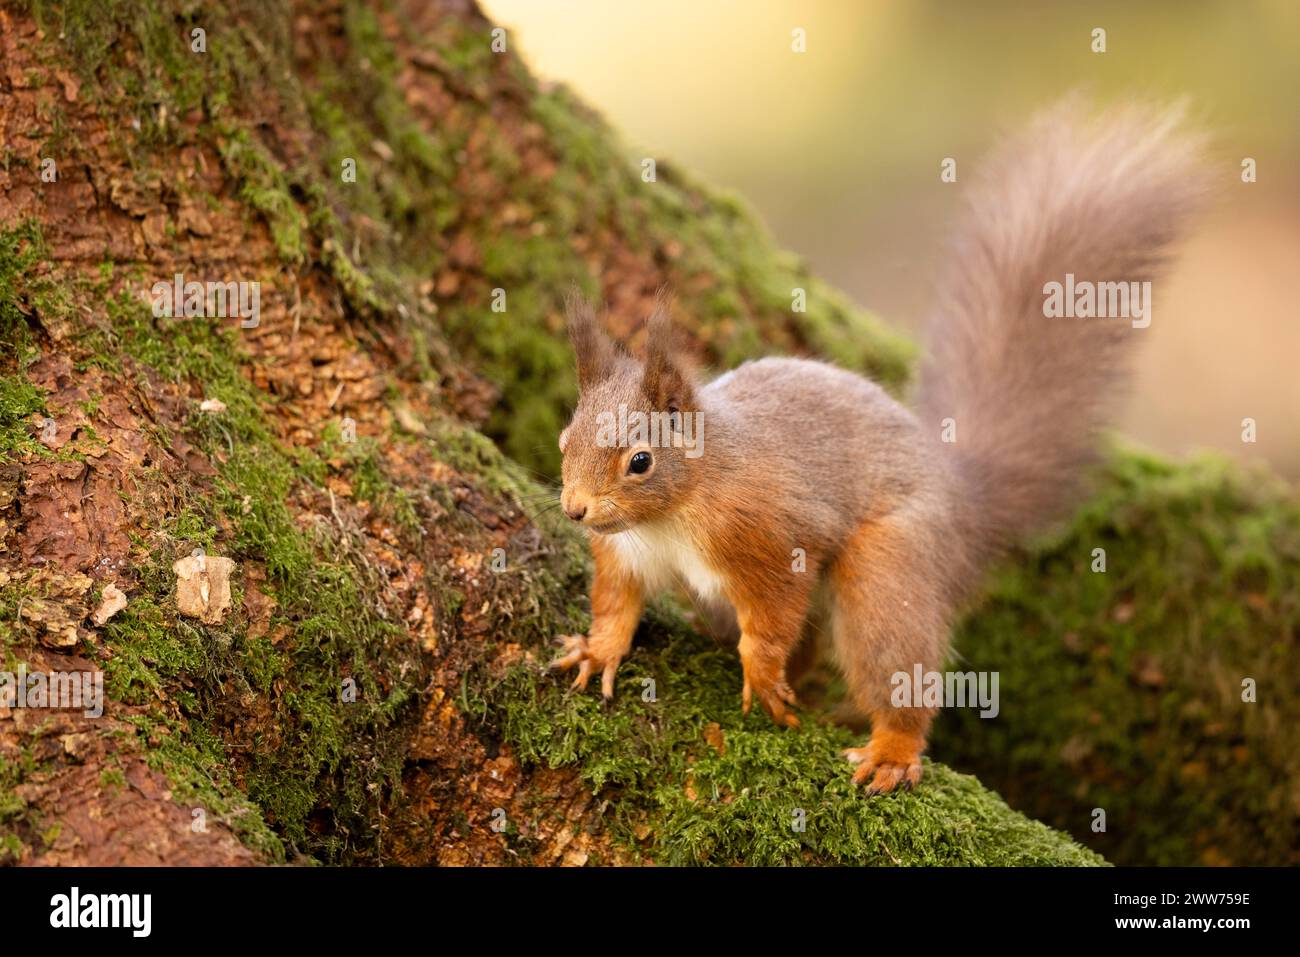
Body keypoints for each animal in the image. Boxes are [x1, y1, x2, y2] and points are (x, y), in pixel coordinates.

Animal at [550, 99, 1207, 794]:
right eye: (565, 439)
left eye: (640, 461)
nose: (575, 509)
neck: (674, 512)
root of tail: (965, 501)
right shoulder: (627, 555)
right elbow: (616, 604)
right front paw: (597, 649)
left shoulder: (772, 534)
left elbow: (773, 618)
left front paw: (761, 673)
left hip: (891, 563)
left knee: (891, 655)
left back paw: (890, 748)